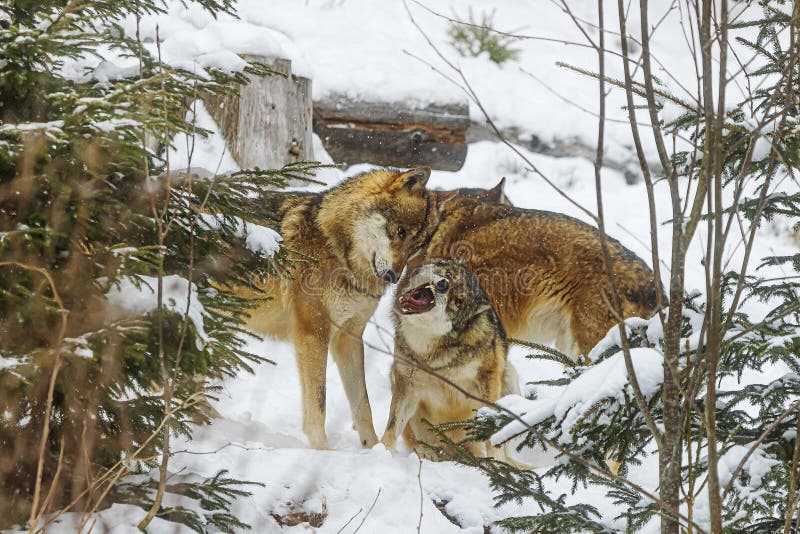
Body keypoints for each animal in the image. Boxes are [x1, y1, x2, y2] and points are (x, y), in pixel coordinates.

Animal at [236, 167, 434, 450]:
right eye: (400, 231)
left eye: (414, 247)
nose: (394, 277)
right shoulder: (313, 333)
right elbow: (319, 404)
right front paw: (323, 451)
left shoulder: (349, 337)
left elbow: (363, 404)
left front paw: (371, 448)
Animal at [380, 259, 510, 460]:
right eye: (448, 274)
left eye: (458, 301)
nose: (443, 285)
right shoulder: (408, 384)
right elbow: (392, 426)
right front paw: (378, 452)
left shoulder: (488, 375)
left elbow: (491, 430)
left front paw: (497, 462)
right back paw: (428, 454)